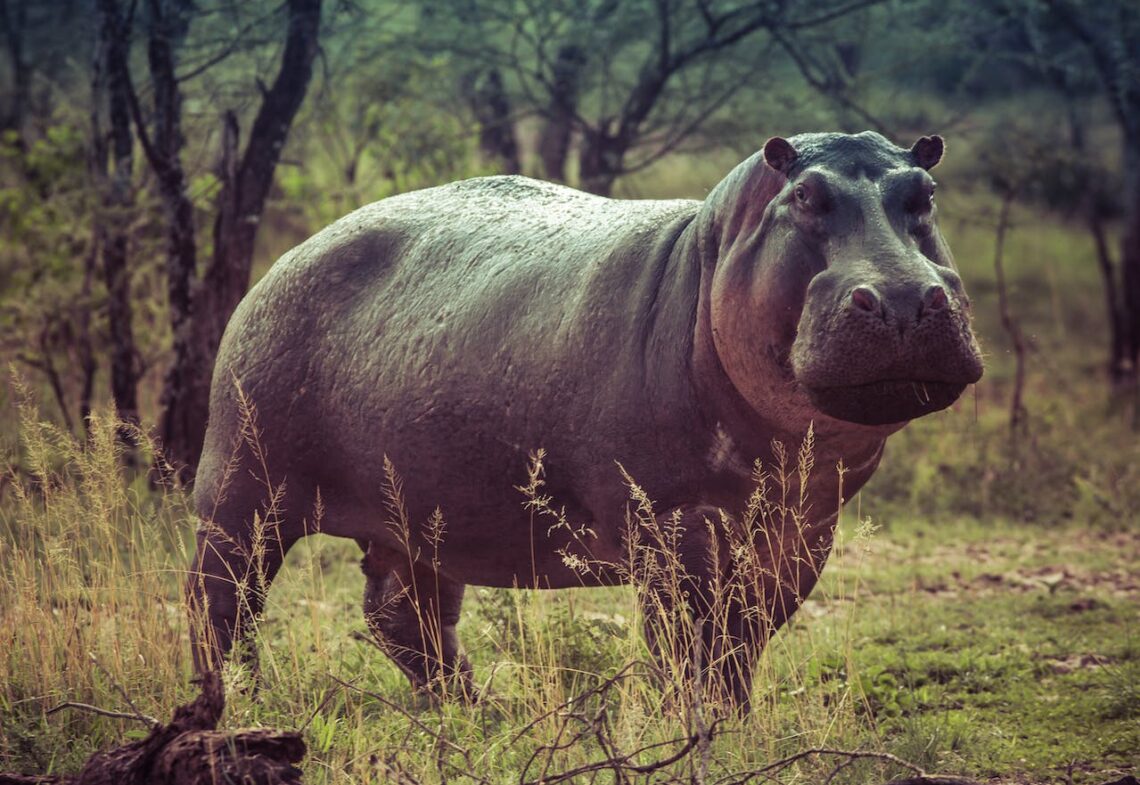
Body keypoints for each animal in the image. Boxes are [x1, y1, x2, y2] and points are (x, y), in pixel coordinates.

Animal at [188, 130, 983, 708]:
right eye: (807, 196)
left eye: (926, 194)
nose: (904, 296)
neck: (710, 254)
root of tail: (291, 254)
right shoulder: (674, 528)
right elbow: (687, 647)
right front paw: (693, 731)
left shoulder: (801, 530)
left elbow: (740, 647)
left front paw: (733, 724)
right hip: (243, 486)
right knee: (219, 599)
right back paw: (235, 705)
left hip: (416, 514)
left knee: (404, 615)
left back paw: (475, 712)